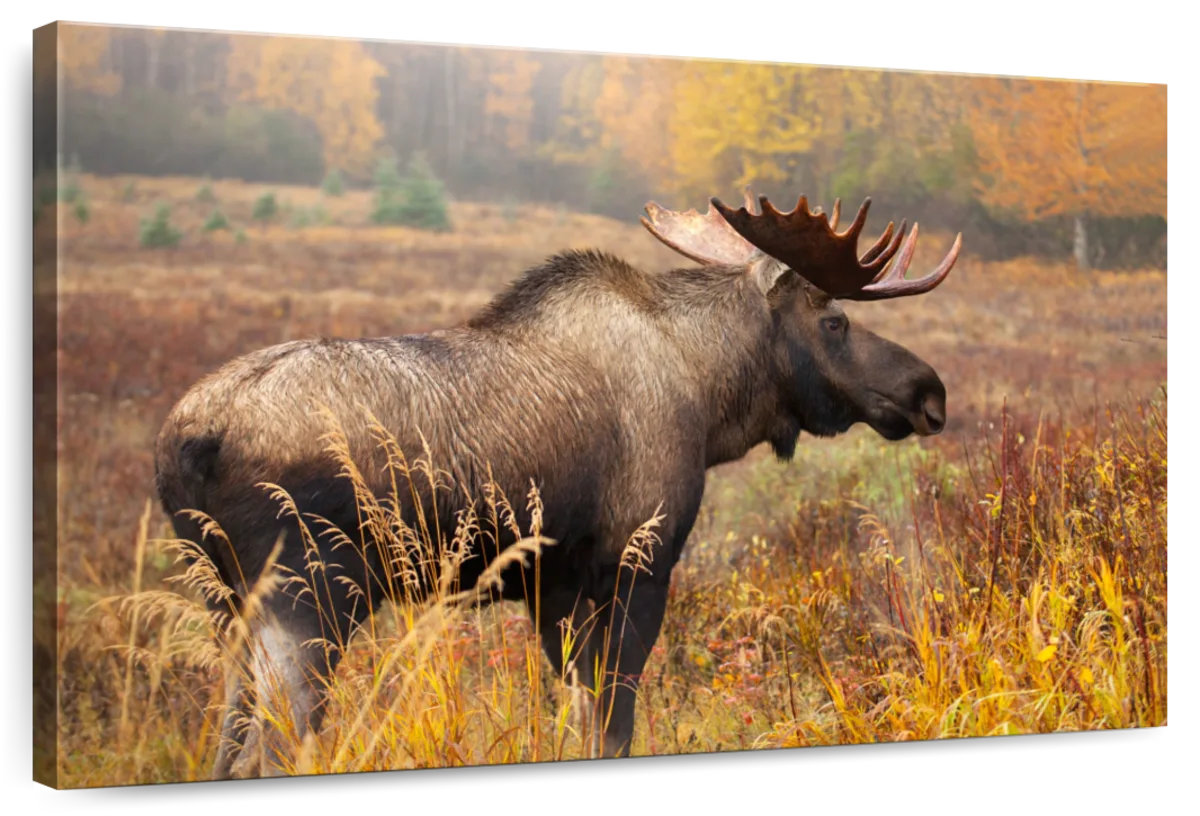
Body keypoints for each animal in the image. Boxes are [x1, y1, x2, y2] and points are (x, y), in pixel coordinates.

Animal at [154, 191, 961, 777]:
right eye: (834, 321)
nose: (930, 391)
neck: (710, 399)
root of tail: (185, 443)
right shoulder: (638, 565)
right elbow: (615, 722)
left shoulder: (553, 585)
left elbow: (576, 718)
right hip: (310, 594)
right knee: (267, 752)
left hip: (228, 603)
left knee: (226, 747)